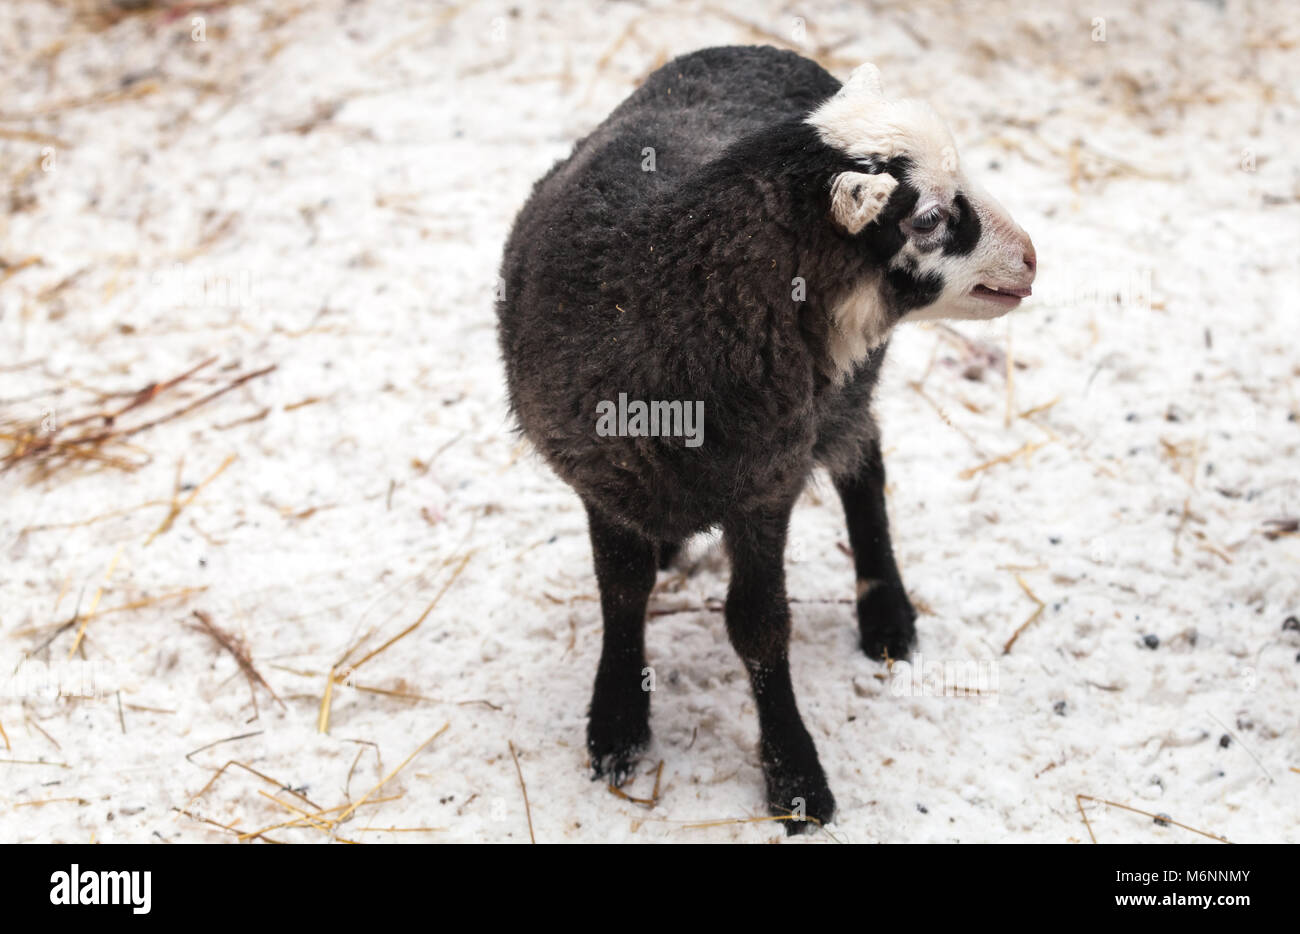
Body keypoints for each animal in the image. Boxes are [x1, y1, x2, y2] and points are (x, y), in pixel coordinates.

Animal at [497, 45, 1036, 832]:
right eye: (930, 219)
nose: (1029, 258)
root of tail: (755, 47)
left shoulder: (768, 482)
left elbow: (757, 624)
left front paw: (795, 775)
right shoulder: (604, 477)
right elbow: (620, 592)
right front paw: (617, 723)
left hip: (844, 392)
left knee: (863, 465)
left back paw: (885, 614)